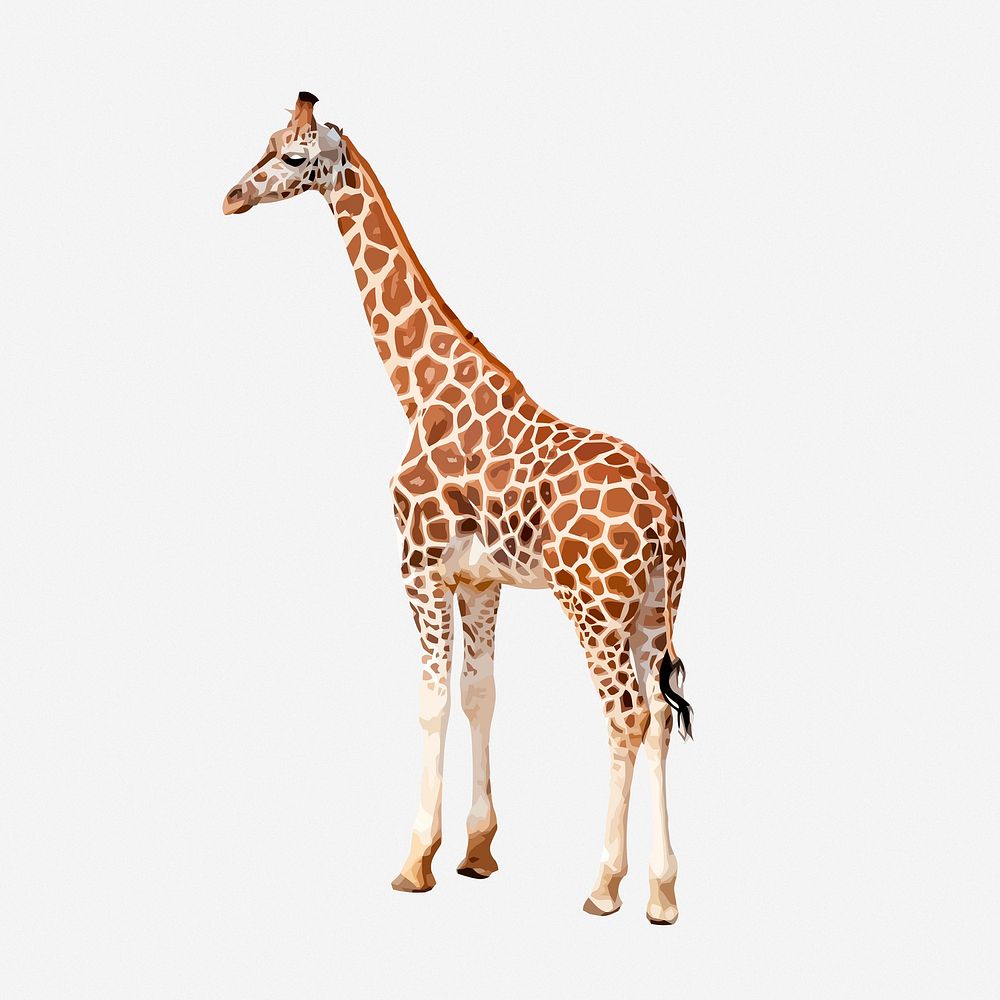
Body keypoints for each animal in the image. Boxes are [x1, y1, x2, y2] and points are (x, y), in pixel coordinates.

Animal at [223, 92, 693, 923]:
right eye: (269, 140)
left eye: (292, 156)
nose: (231, 197)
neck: (421, 390)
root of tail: (666, 518)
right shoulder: (479, 580)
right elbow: (481, 696)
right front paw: (477, 852)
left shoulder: (418, 565)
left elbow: (431, 702)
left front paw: (415, 861)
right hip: (651, 610)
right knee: (663, 719)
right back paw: (663, 894)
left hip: (594, 608)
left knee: (627, 716)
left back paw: (605, 885)